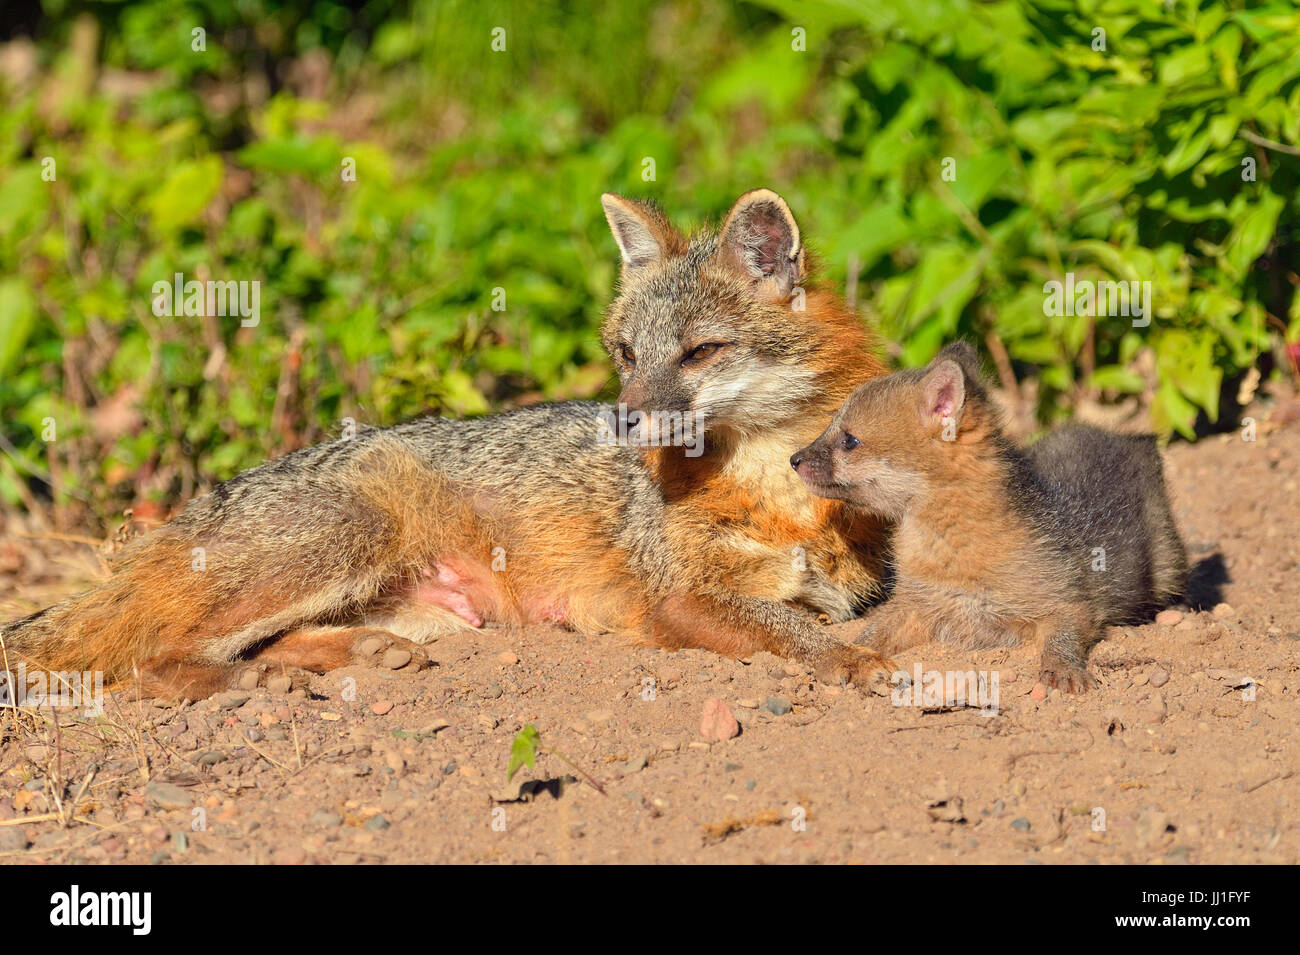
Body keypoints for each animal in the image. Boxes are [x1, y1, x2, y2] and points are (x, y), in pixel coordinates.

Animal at [1, 188, 897, 700]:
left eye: (701, 352)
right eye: (626, 354)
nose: (622, 420)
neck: (775, 494)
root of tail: (204, 503)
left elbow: (819, 615)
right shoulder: (678, 596)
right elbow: (792, 631)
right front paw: (853, 664)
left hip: (431, 610)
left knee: (275, 638)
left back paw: (364, 653)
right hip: (349, 535)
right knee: (154, 656)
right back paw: (245, 679)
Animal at [790, 342, 1188, 691]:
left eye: (849, 440)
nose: (794, 459)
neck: (949, 553)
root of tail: (1132, 439)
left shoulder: (1070, 606)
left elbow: (1060, 640)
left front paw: (1062, 669)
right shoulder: (914, 605)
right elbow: (871, 634)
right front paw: (853, 658)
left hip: (1167, 573)